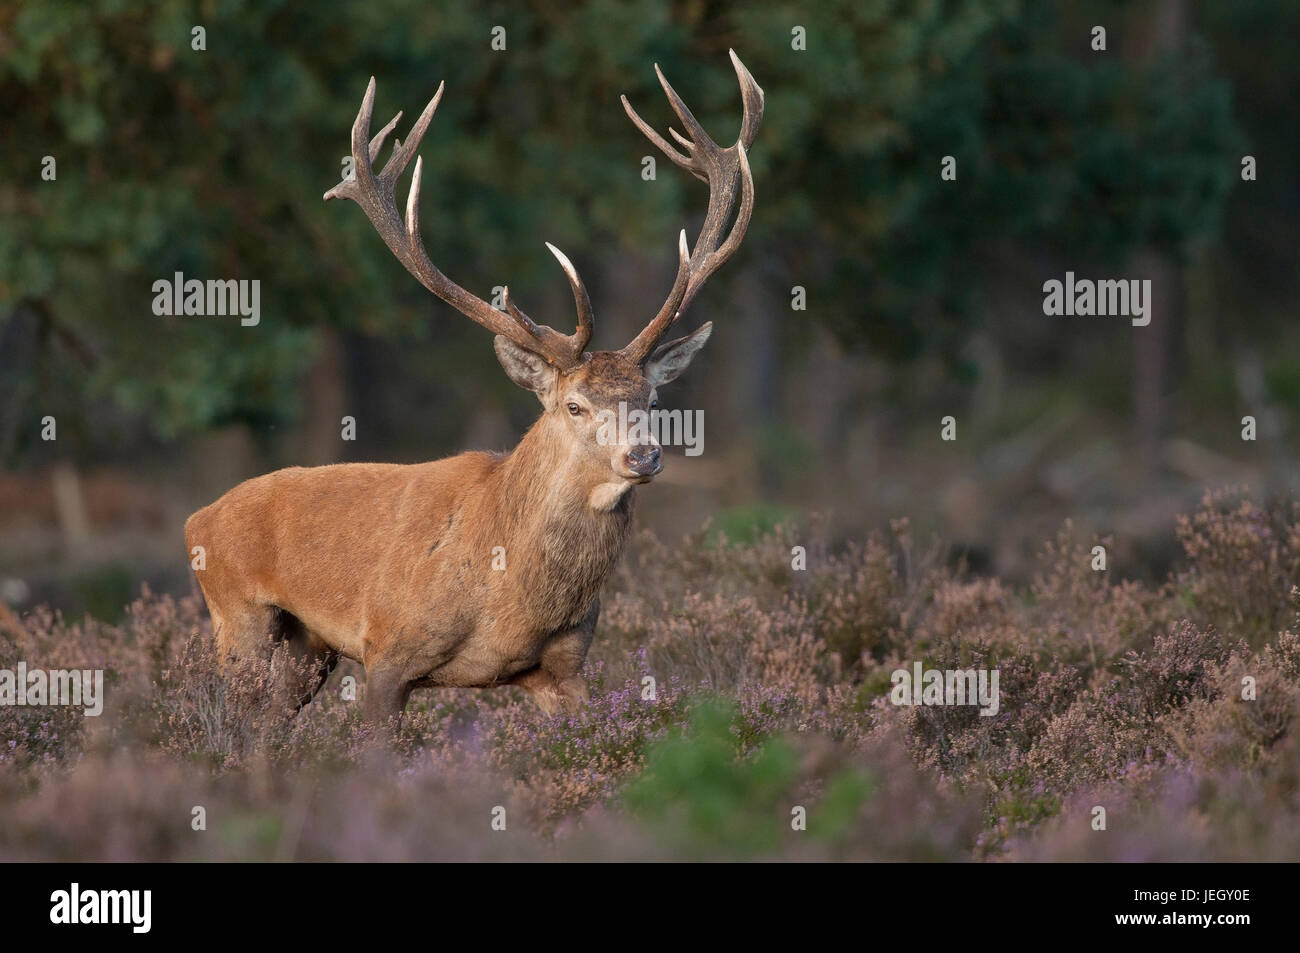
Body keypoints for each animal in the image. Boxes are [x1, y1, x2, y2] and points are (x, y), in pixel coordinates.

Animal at [184, 51, 763, 729]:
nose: (643, 456)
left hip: (307, 647)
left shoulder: (566, 667)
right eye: (574, 405)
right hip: (239, 619)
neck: (507, 594)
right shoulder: (387, 649)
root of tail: (196, 519)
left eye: (651, 400)